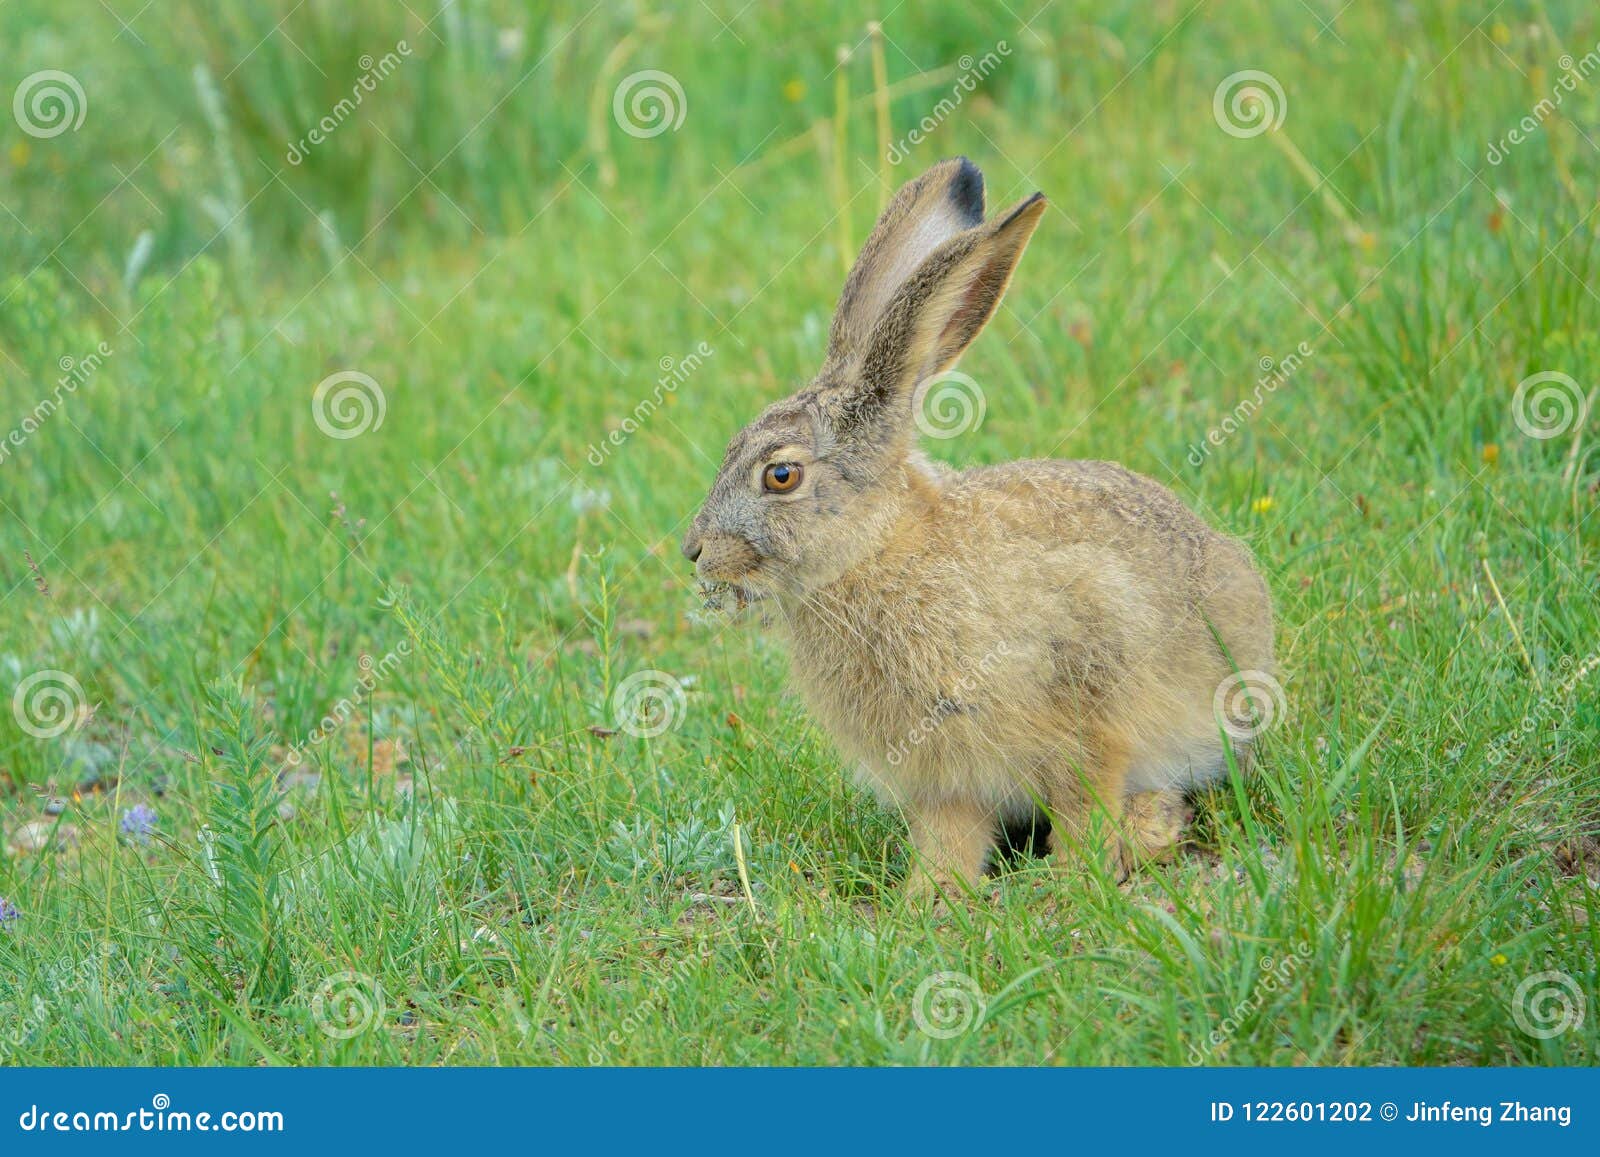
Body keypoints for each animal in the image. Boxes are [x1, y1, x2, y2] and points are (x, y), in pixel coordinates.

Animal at [681, 157, 1275, 899]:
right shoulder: (944, 776)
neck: (875, 554)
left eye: (781, 475)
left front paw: (1070, 881)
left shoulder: (1089, 700)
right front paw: (928, 899)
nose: (696, 551)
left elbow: (1086, 798)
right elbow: (950, 835)